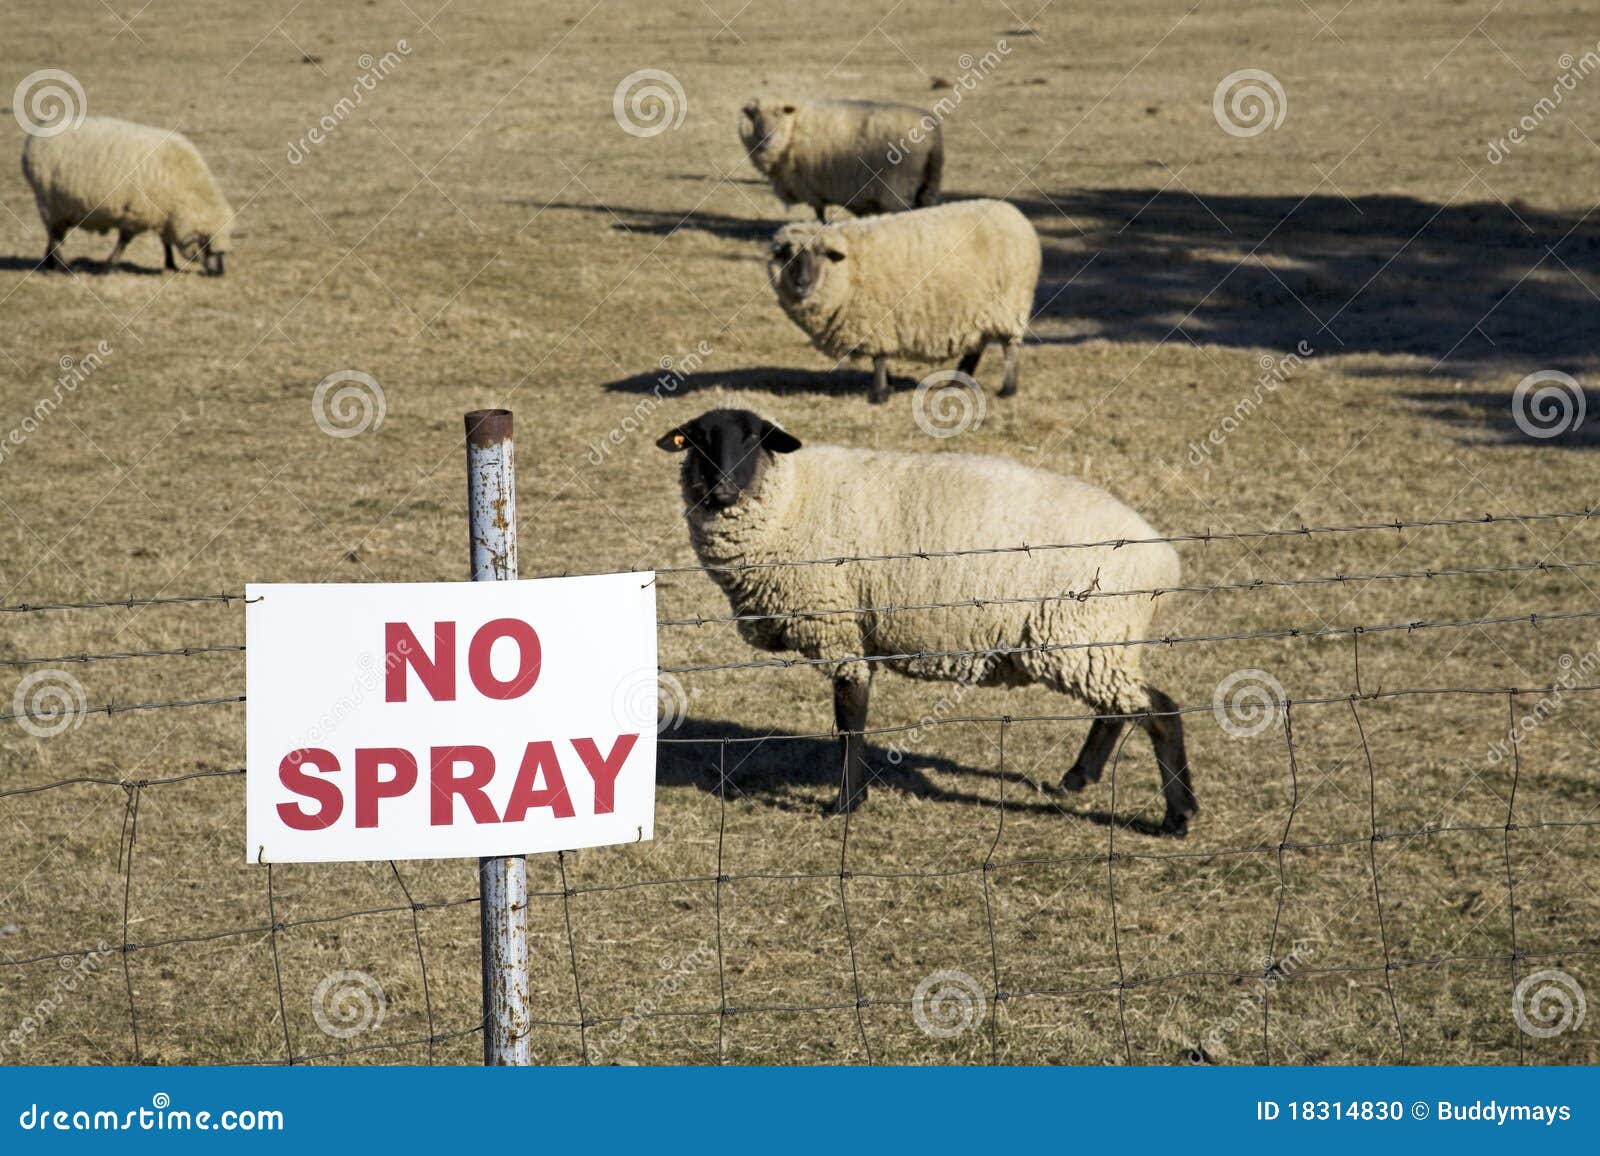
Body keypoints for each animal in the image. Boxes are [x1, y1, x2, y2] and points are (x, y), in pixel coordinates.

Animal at [20, 116, 233, 275]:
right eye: (207, 245)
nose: (219, 273)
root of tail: (34, 137)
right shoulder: (135, 213)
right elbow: (123, 242)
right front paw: (110, 267)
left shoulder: (162, 213)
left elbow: (165, 241)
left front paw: (170, 264)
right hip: (49, 202)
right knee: (55, 237)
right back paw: (62, 267)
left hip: (59, 206)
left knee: (53, 235)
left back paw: (49, 264)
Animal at [657, 408, 1198, 836]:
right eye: (699, 439)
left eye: (754, 437)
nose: (723, 488)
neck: (793, 496)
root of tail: (1163, 561)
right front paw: (852, 798)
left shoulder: (839, 628)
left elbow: (850, 719)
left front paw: (845, 804)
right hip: (1095, 640)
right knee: (1118, 708)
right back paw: (1075, 781)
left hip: (1081, 633)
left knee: (1159, 711)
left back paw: (1178, 815)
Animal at [738, 98, 942, 221]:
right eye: (754, 115)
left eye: (779, 112)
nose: (765, 138)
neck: (792, 129)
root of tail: (933, 139)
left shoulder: (809, 187)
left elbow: (819, 213)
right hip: (927, 184)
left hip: (898, 186)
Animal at [767, 198, 1040, 403]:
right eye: (787, 255)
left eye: (820, 253)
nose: (802, 283)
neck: (849, 267)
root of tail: (1016, 215)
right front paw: (889, 385)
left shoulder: (875, 318)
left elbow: (878, 358)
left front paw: (879, 394)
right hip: (979, 310)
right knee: (977, 347)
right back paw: (956, 382)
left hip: (1010, 304)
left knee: (1010, 346)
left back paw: (1007, 389)